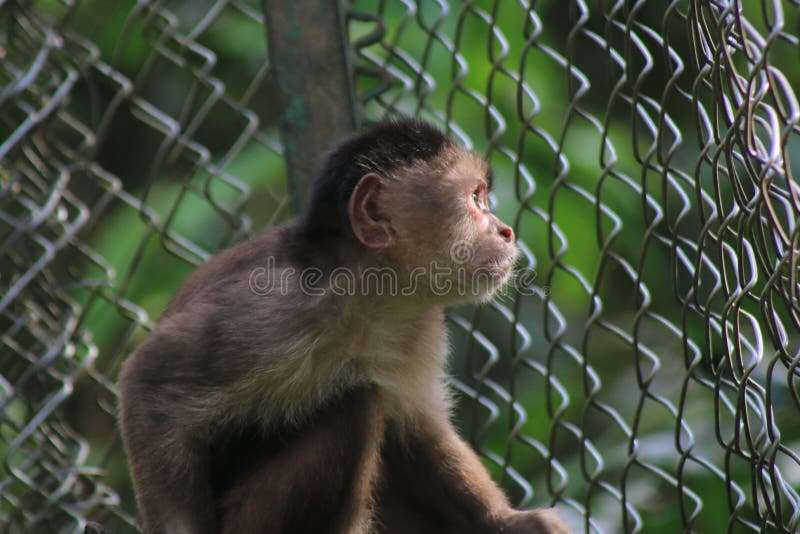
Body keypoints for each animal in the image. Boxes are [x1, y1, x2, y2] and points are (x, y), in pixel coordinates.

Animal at [118, 117, 570, 534]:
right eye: (476, 200)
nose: (506, 231)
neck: (368, 298)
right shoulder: (276, 308)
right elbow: (149, 385)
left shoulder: (420, 325)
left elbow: (417, 426)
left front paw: (505, 521)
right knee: (359, 406)